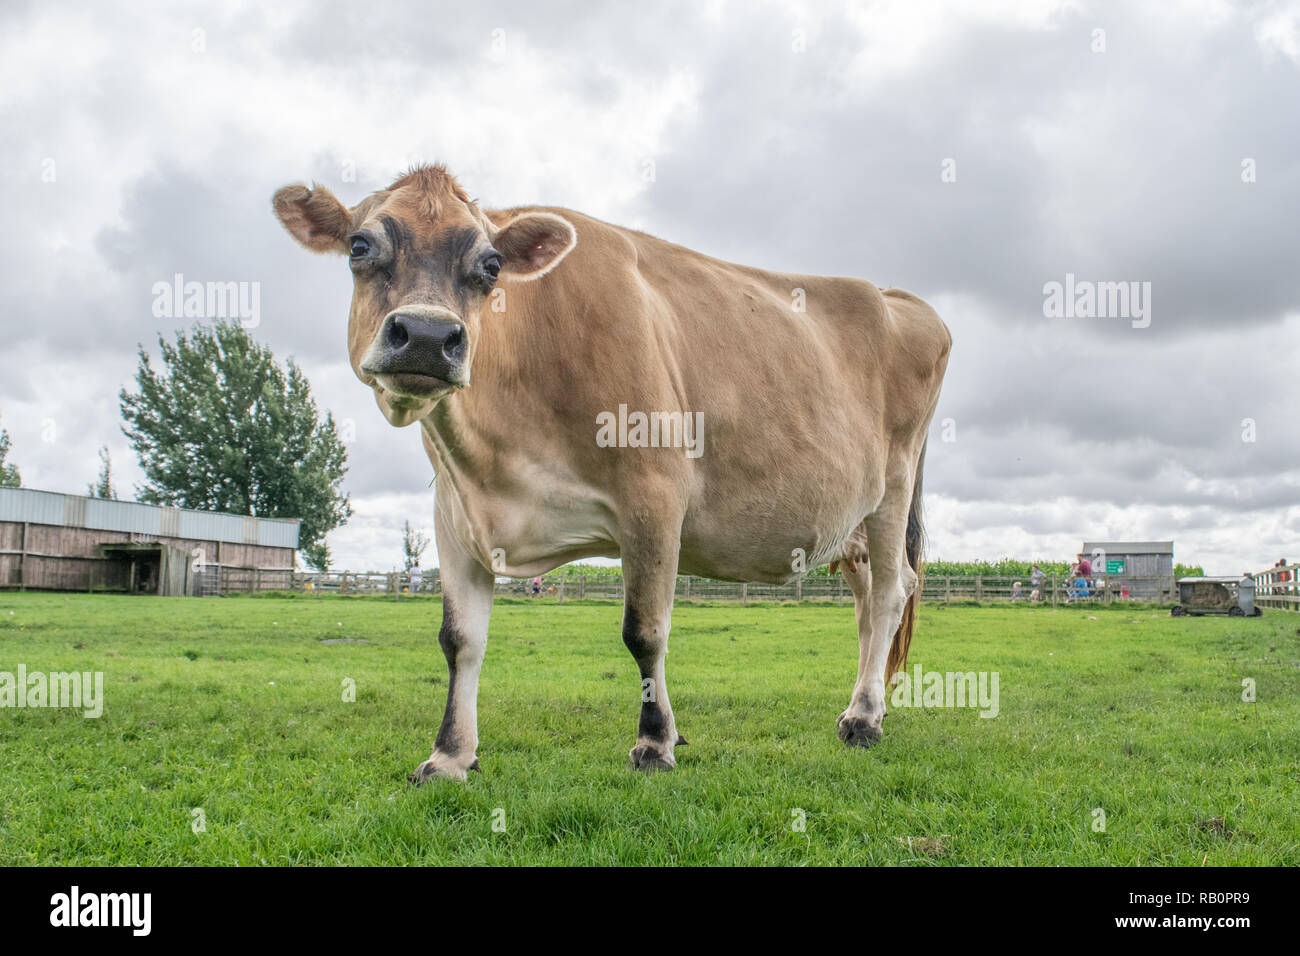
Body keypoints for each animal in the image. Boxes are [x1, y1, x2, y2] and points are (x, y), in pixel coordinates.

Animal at [272, 165, 950, 781]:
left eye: (491, 265)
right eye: (360, 246)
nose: (426, 335)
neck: (494, 463)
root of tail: (900, 298)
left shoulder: (654, 496)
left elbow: (644, 632)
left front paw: (655, 742)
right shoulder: (454, 516)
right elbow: (460, 640)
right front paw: (449, 756)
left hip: (891, 492)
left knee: (891, 592)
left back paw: (864, 719)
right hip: (852, 521)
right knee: (867, 602)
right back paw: (865, 706)